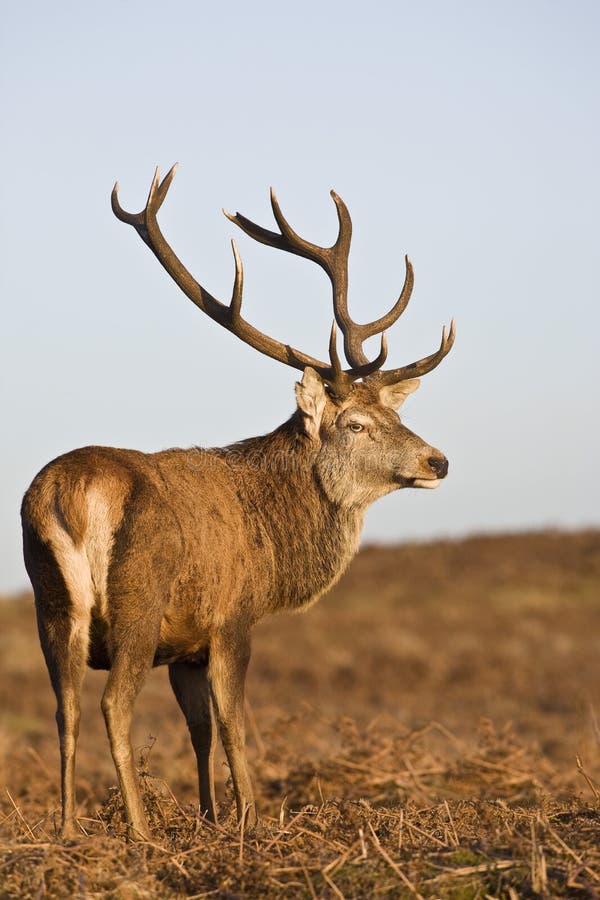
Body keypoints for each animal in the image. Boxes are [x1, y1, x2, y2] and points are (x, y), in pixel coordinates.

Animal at [21, 164, 455, 841]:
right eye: (356, 424)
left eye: (395, 415)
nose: (438, 461)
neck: (273, 536)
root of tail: (72, 491)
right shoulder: (231, 617)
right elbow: (233, 723)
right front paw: (251, 820)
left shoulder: (185, 646)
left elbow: (199, 730)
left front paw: (209, 816)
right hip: (138, 598)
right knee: (112, 704)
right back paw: (140, 831)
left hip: (51, 602)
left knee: (65, 707)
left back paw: (68, 829)